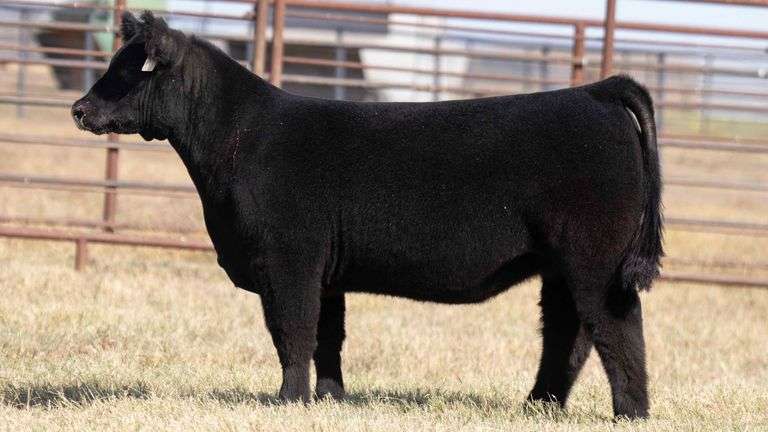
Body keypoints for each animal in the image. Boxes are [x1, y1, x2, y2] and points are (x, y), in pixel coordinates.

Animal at [71, 11, 663, 419]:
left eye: (128, 71)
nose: (79, 108)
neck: (238, 137)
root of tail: (596, 91)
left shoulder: (289, 260)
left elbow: (293, 330)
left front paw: (288, 401)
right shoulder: (326, 270)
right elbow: (328, 336)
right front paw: (331, 399)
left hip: (594, 259)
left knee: (616, 326)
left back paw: (629, 413)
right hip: (560, 266)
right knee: (568, 332)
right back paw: (538, 406)